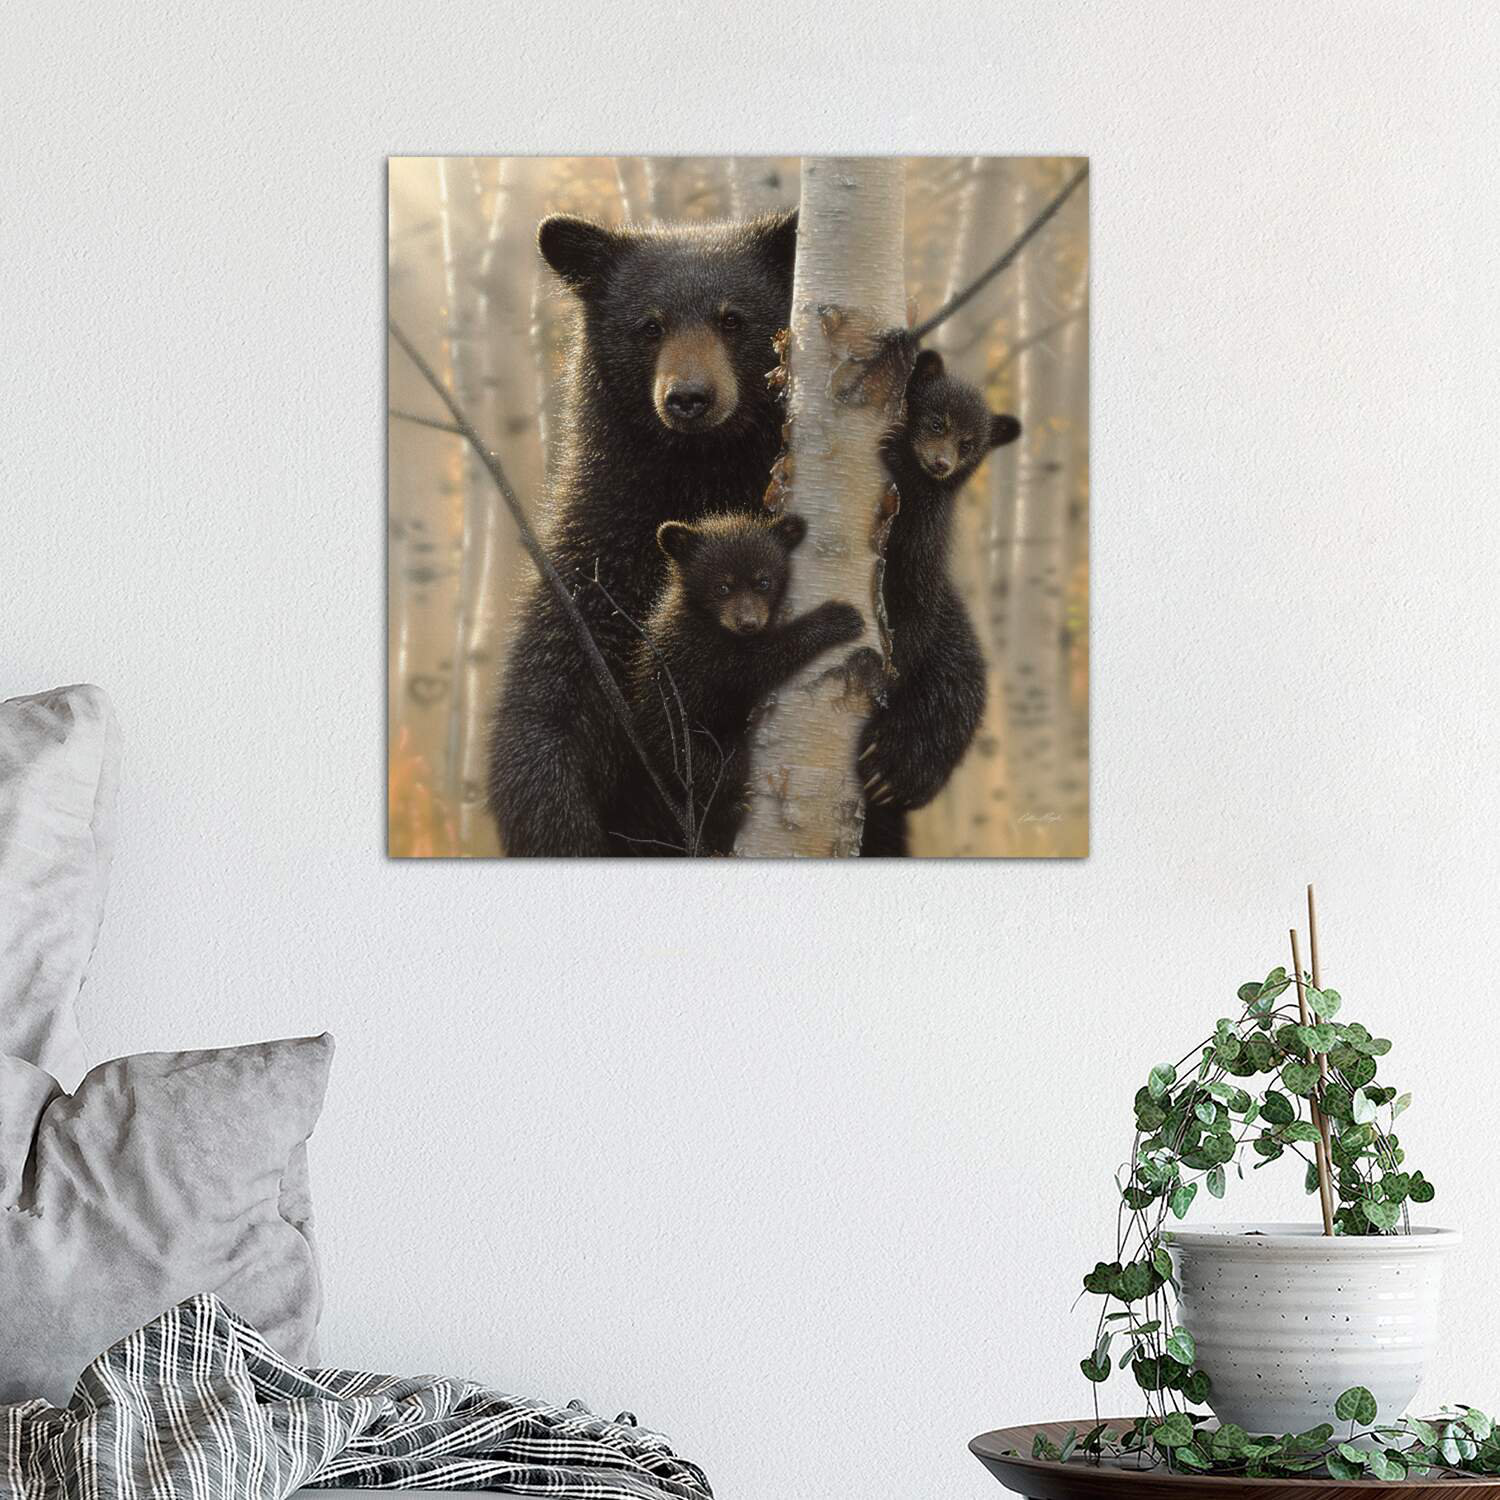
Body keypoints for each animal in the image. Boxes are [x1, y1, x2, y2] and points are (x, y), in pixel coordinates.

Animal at [486, 209, 800, 856]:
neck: (698, 479)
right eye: (649, 326)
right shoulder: (597, 565)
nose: (689, 398)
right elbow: (544, 711)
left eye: (733, 319)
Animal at [614, 512, 865, 855]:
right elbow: (755, 665)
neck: (707, 619)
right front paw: (836, 618)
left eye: (763, 582)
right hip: (681, 743)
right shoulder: (701, 652)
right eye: (722, 586)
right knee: (720, 767)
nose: (748, 623)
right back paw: (729, 808)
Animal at [858, 348, 1021, 857]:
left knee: (947, 706)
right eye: (936, 422)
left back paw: (891, 770)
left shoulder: (923, 547)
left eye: (969, 443)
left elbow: (913, 605)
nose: (942, 463)